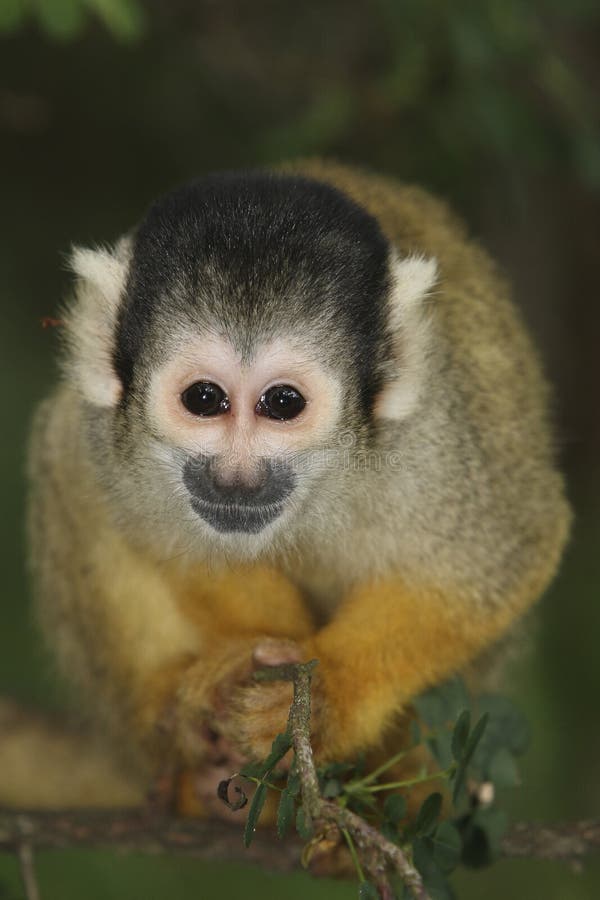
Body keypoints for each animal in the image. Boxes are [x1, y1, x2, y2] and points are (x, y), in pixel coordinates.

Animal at [17, 159, 570, 813]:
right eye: (204, 398)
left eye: (283, 403)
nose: (236, 477)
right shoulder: (113, 440)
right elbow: (175, 545)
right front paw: (246, 657)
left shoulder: (438, 438)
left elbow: (492, 565)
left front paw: (325, 692)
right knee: (65, 446)